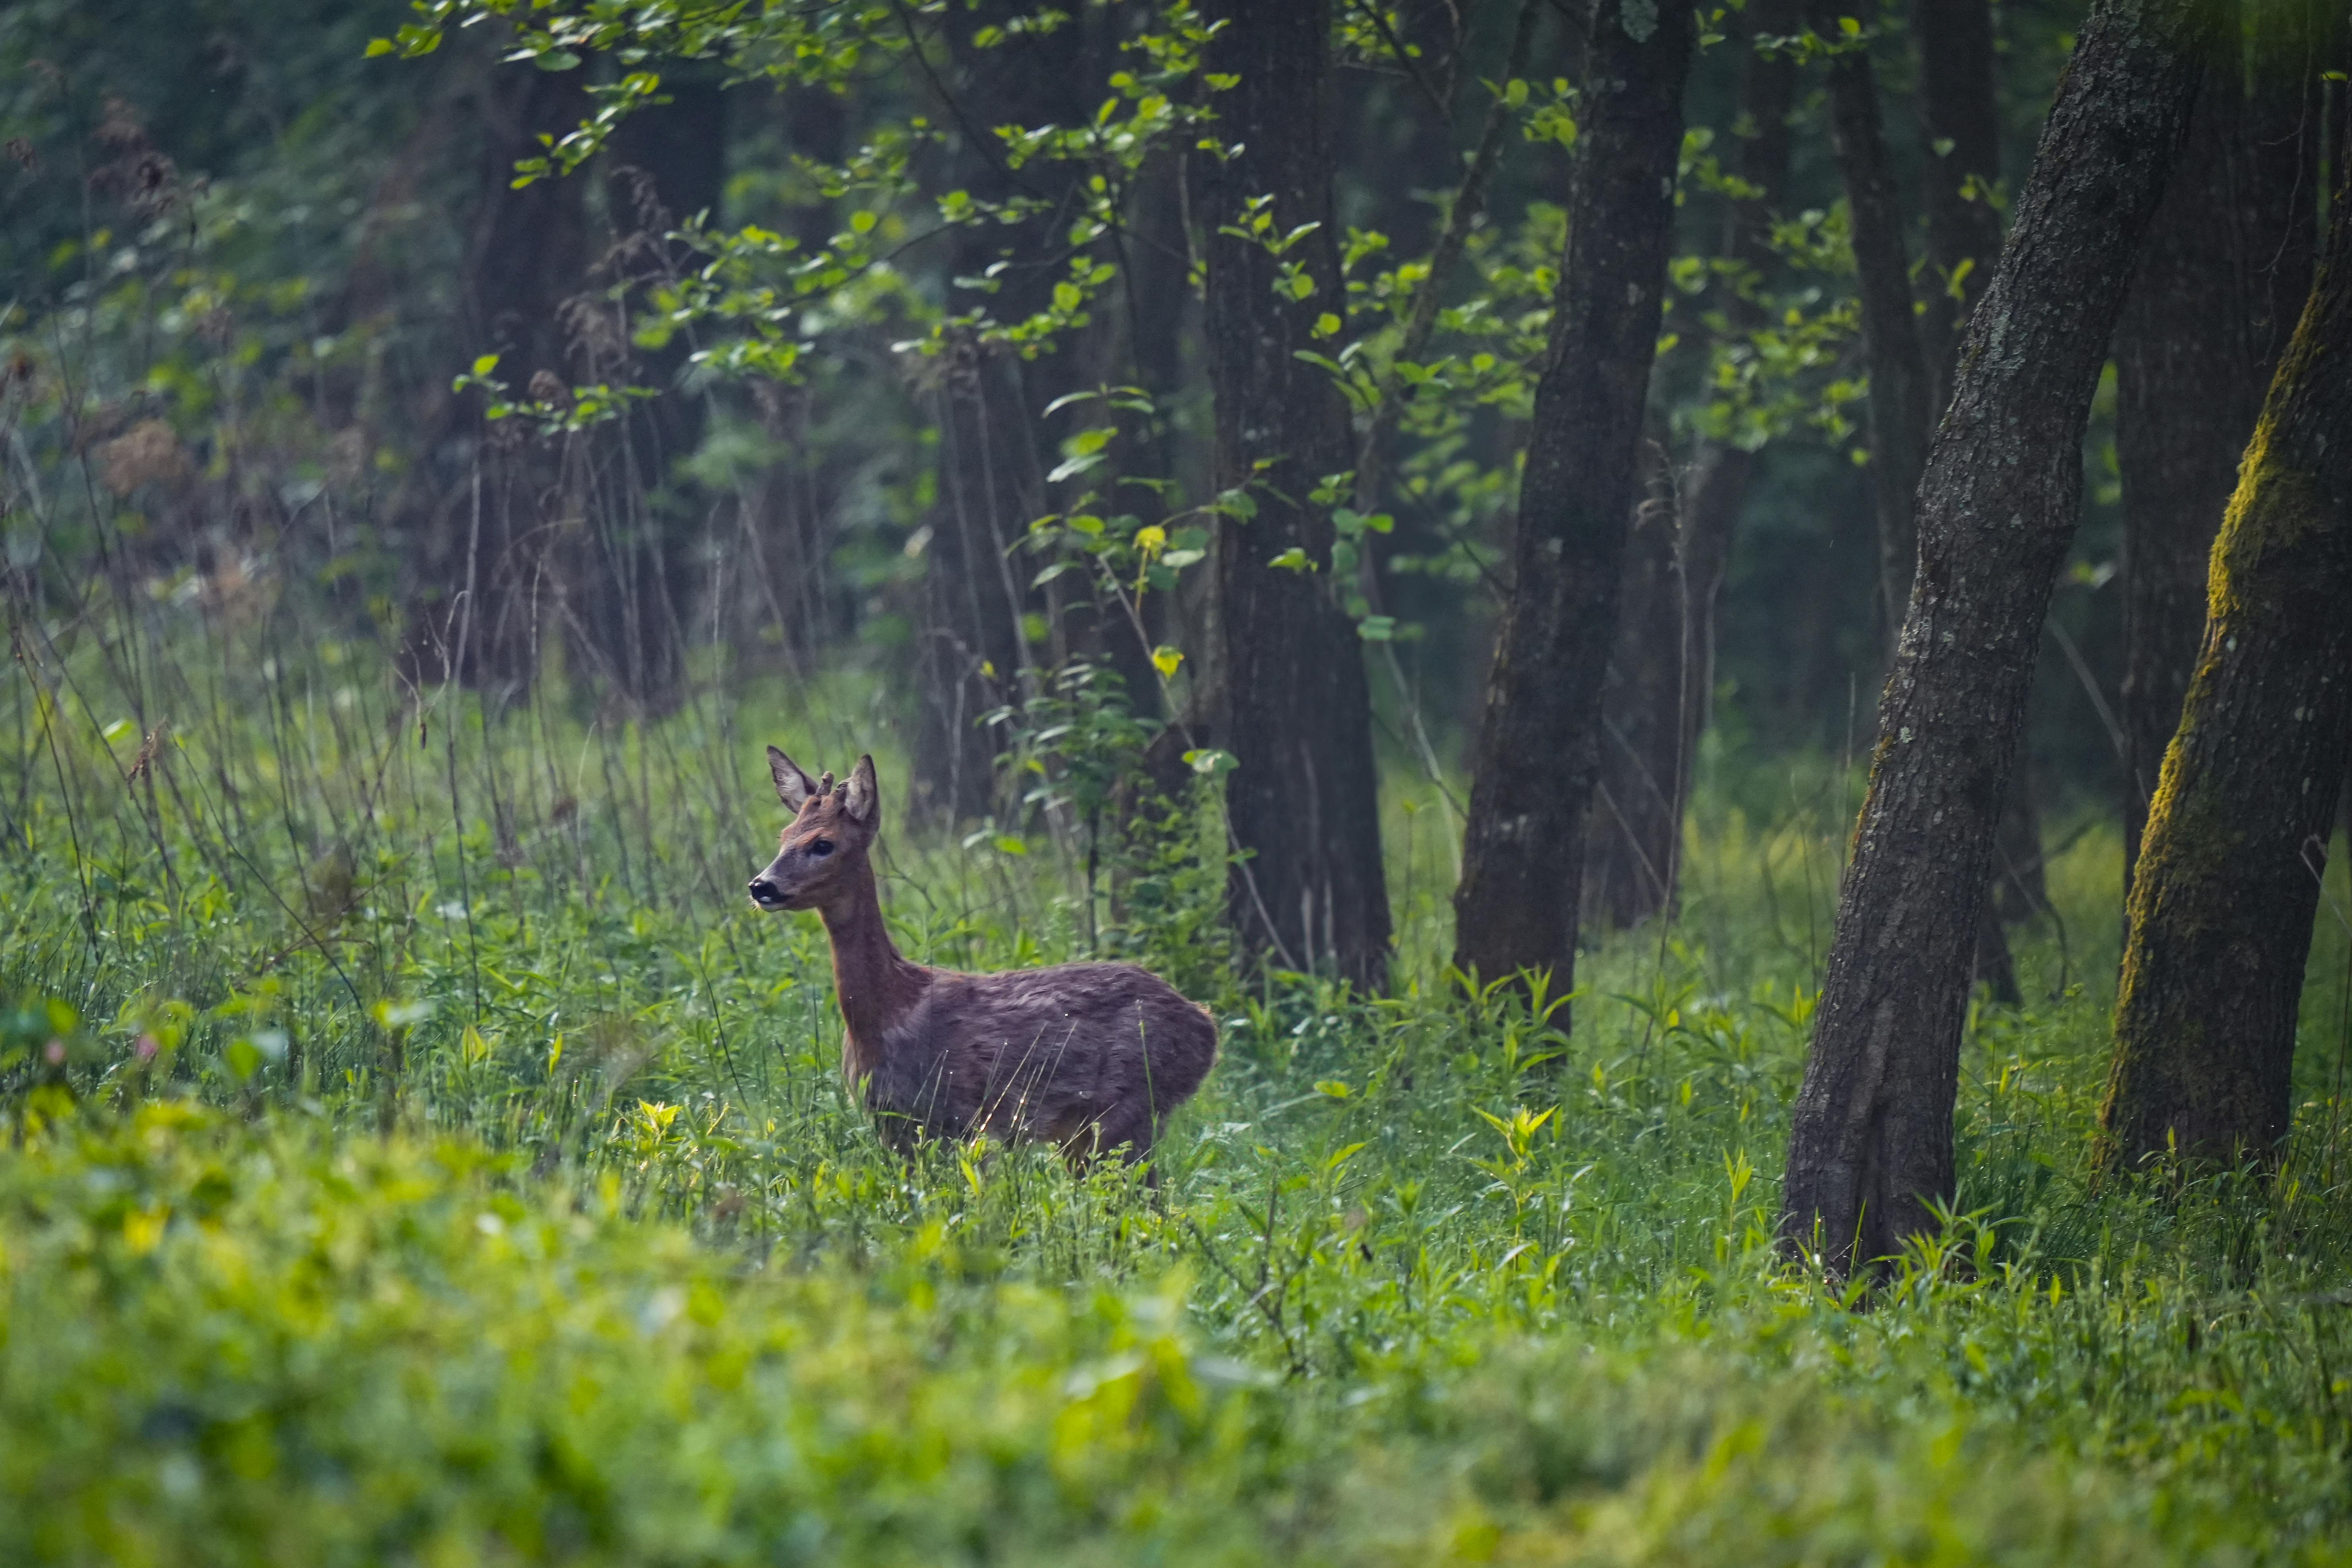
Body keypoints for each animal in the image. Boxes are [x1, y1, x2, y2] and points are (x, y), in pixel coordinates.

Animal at [746, 746, 1218, 1175]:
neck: (889, 1011)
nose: (761, 886)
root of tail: (1205, 1025)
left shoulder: (960, 1118)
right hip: (1084, 1134)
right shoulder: (893, 1123)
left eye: (823, 844)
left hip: (1130, 1112)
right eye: (784, 836)